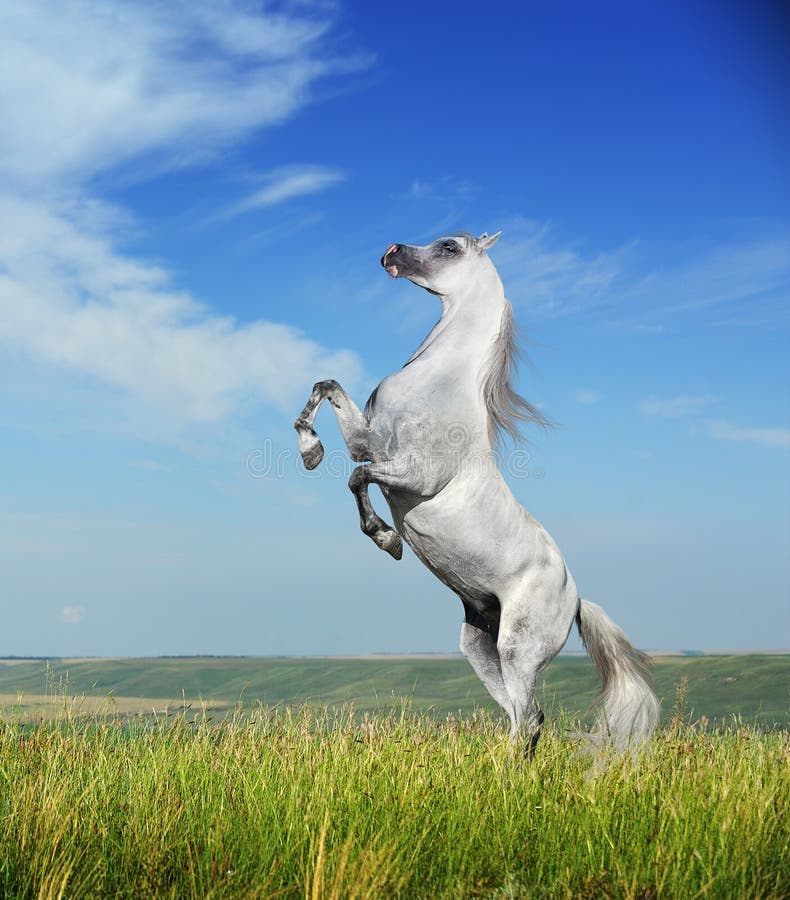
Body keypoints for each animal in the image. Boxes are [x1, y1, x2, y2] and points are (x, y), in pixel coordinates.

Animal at [294, 231, 659, 757]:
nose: (391, 251)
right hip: (480, 645)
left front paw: (388, 539)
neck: (436, 383)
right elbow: (327, 387)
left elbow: (358, 478)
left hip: (517, 649)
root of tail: (575, 601)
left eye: (449, 247)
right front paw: (310, 450)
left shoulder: (413, 476)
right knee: (527, 718)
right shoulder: (369, 442)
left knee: (527, 718)